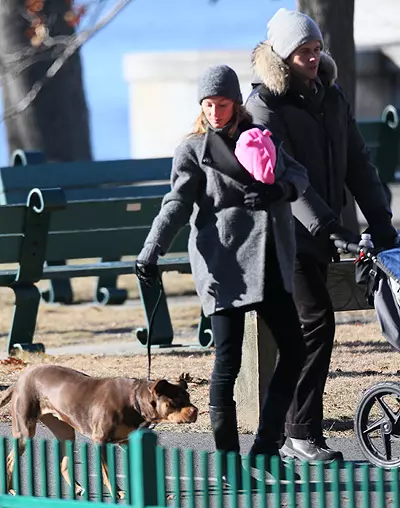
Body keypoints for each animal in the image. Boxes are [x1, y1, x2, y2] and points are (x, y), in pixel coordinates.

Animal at [0, 364, 197, 498]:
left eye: (188, 397)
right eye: (176, 401)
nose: (195, 411)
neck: (135, 401)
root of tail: (19, 381)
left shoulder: (127, 442)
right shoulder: (100, 440)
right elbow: (107, 472)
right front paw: (117, 492)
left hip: (65, 432)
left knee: (64, 464)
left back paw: (77, 488)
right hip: (25, 432)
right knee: (9, 460)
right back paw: (9, 489)